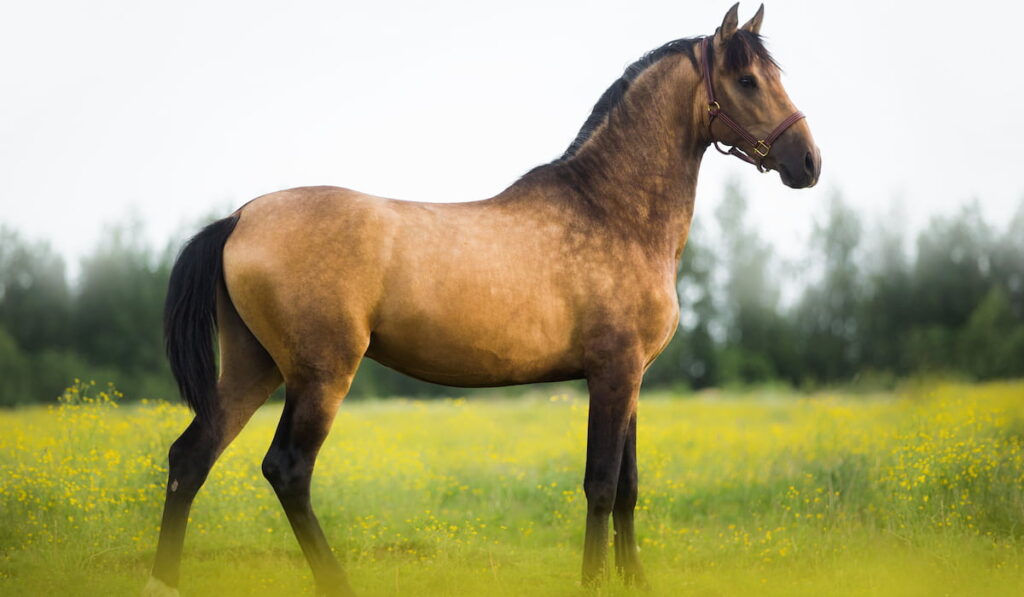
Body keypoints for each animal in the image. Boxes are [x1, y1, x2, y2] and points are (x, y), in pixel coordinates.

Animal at [144, 5, 819, 597]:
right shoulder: (613, 373)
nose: (808, 163)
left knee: (191, 457)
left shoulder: (633, 379)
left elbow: (628, 486)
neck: (610, 212)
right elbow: (601, 485)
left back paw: (165, 579)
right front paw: (593, 581)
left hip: (253, 367)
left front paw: (635, 580)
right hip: (320, 375)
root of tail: (239, 218)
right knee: (286, 470)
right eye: (747, 79)